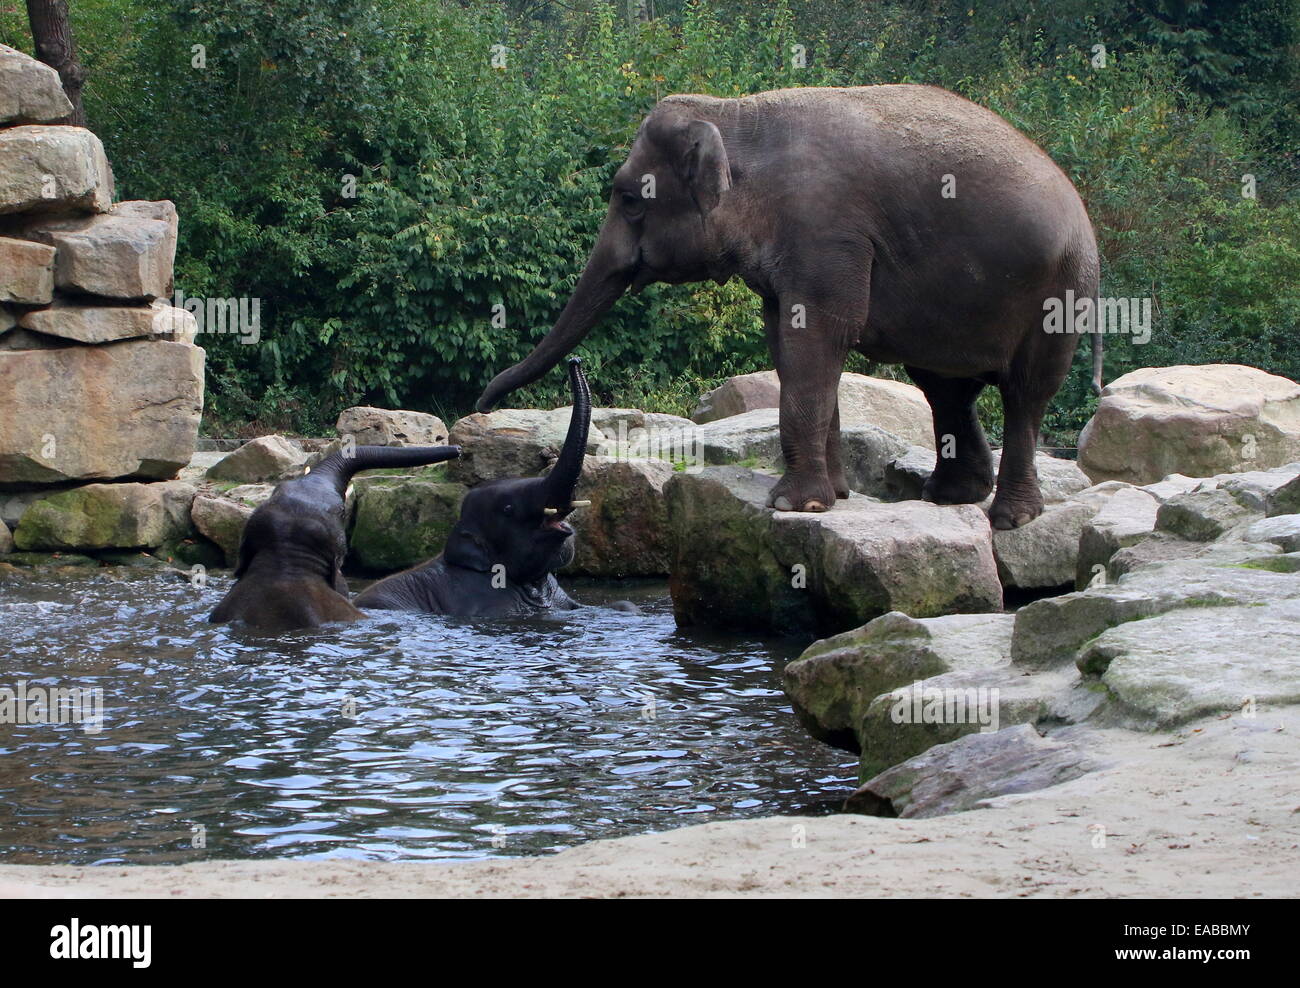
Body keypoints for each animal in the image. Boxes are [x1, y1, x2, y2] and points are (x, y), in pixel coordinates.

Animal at [476, 85, 1101, 529]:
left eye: (629, 200)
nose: (482, 402)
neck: (735, 113)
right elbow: (786, 337)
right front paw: (837, 497)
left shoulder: (827, 236)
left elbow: (819, 336)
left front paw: (795, 508)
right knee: (945, 385)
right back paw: (949, 497)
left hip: (1061, 290)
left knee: (1024, 394)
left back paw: (1011, 518)